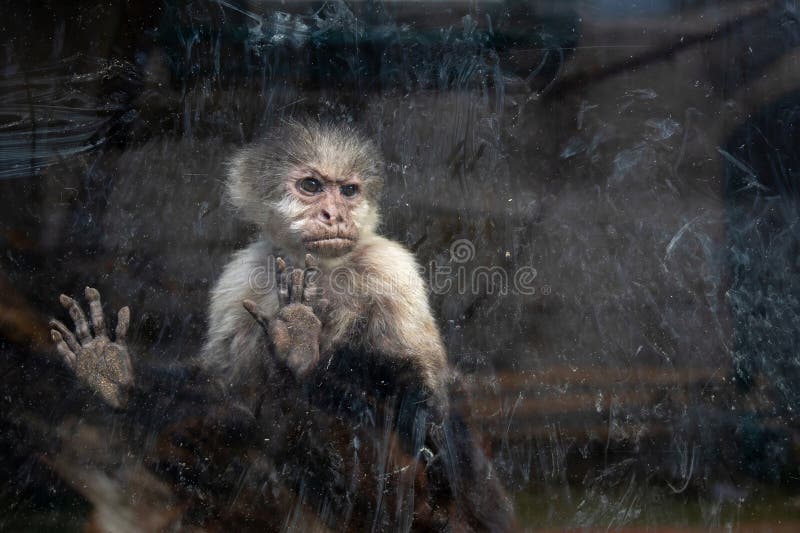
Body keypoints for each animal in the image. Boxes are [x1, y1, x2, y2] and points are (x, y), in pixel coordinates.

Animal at [49, 120, 514, 531]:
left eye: (348, 190)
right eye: (311, 186)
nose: (333, 213)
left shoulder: (391, 267)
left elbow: (422, 395)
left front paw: (302, 348)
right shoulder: (240, 278)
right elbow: (225, 390)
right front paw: (114, 376)